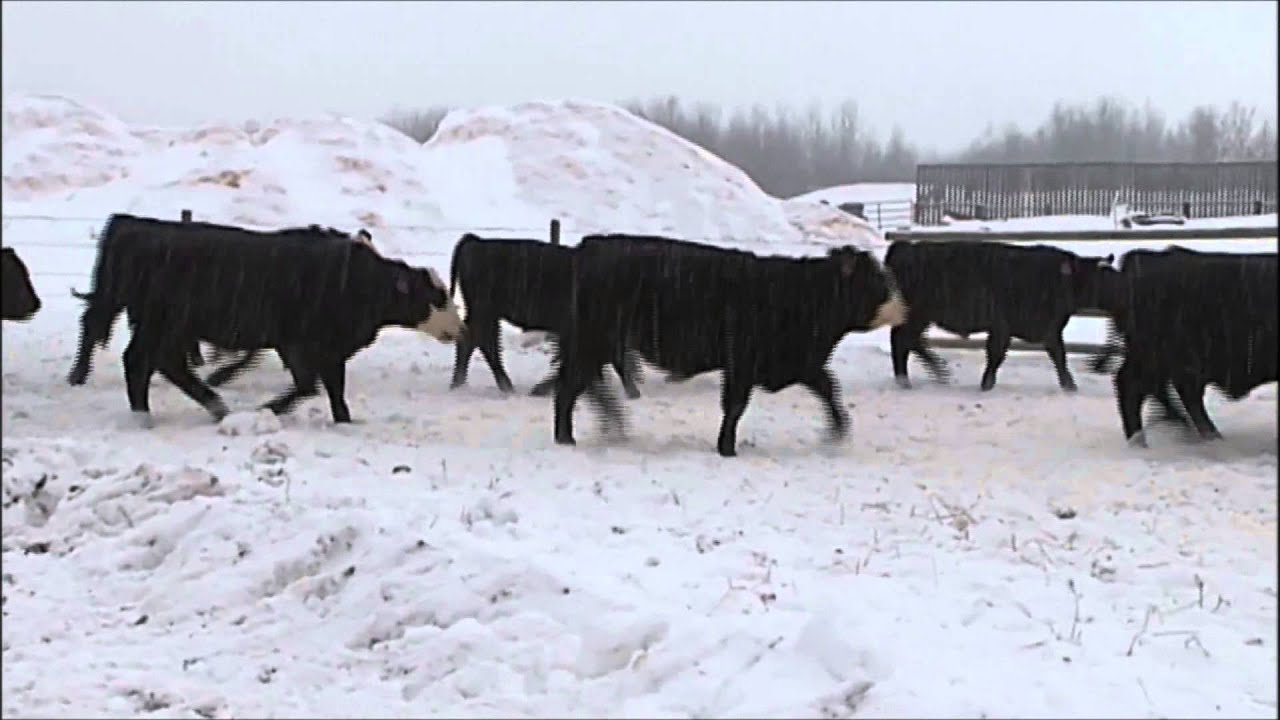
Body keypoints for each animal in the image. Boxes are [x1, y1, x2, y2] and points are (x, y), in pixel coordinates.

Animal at [66, 214, 462, 426]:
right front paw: (268, 409)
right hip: (160, 323)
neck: (356, 280)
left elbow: (327, 387)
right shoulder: (303, 344)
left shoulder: (326, 351)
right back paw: (147, 414)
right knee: (139, 361)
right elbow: (310, 385)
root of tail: (133, 226)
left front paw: (343, 419)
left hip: (168, 327)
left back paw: (213, 404)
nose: (460, 328)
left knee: (163, 363)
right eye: (436, 296)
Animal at [447, 233, 642, 398]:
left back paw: (462, 384)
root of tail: (476, 242)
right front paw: (633, 392)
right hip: (484, 312)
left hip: (487, 314)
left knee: (475, 341)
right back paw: (500, 386)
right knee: (482, 342)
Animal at [552, 234, 908, 457]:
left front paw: (837, 431)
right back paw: (567, 438)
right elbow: (736, 406)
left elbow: (828, 387)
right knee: (570, 387)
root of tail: (589, 246)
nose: (903, 308)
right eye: (875, 281)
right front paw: (727, 448)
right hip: (591, 341)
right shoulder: (743, 364)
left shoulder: (800, 362)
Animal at [883, 240, 1115, 392]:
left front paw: (1069, 385)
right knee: (902, 340)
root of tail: (905, 247)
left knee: (910, 341)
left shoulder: (1048, 330)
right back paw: (907, 380)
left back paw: (936, 373)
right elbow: (996, 354)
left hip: (920, 317)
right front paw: (987, 383)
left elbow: (1059, 355)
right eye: (1096, 276)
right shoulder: (1002, 326)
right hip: (916, 315)